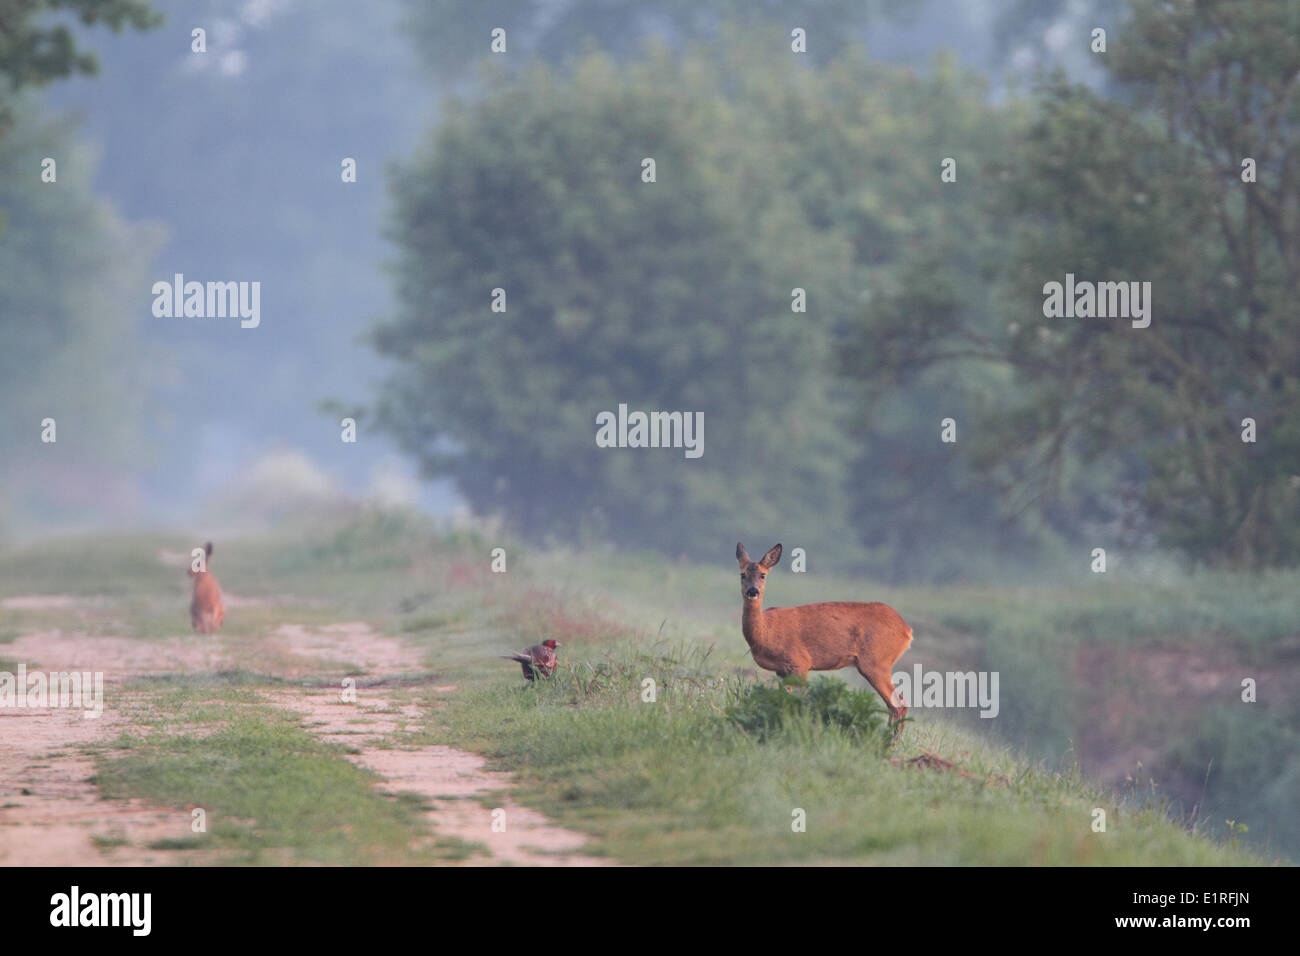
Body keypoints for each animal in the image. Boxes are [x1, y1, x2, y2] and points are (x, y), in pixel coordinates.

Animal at [736, 543, 912, 725]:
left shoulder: (800, 661)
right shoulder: (781, 670)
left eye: (763, 575)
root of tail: (906, 630)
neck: (766, 632)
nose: (753, 591)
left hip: (876, 662)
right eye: (743, 574)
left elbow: (800, 699)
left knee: (899, 704)